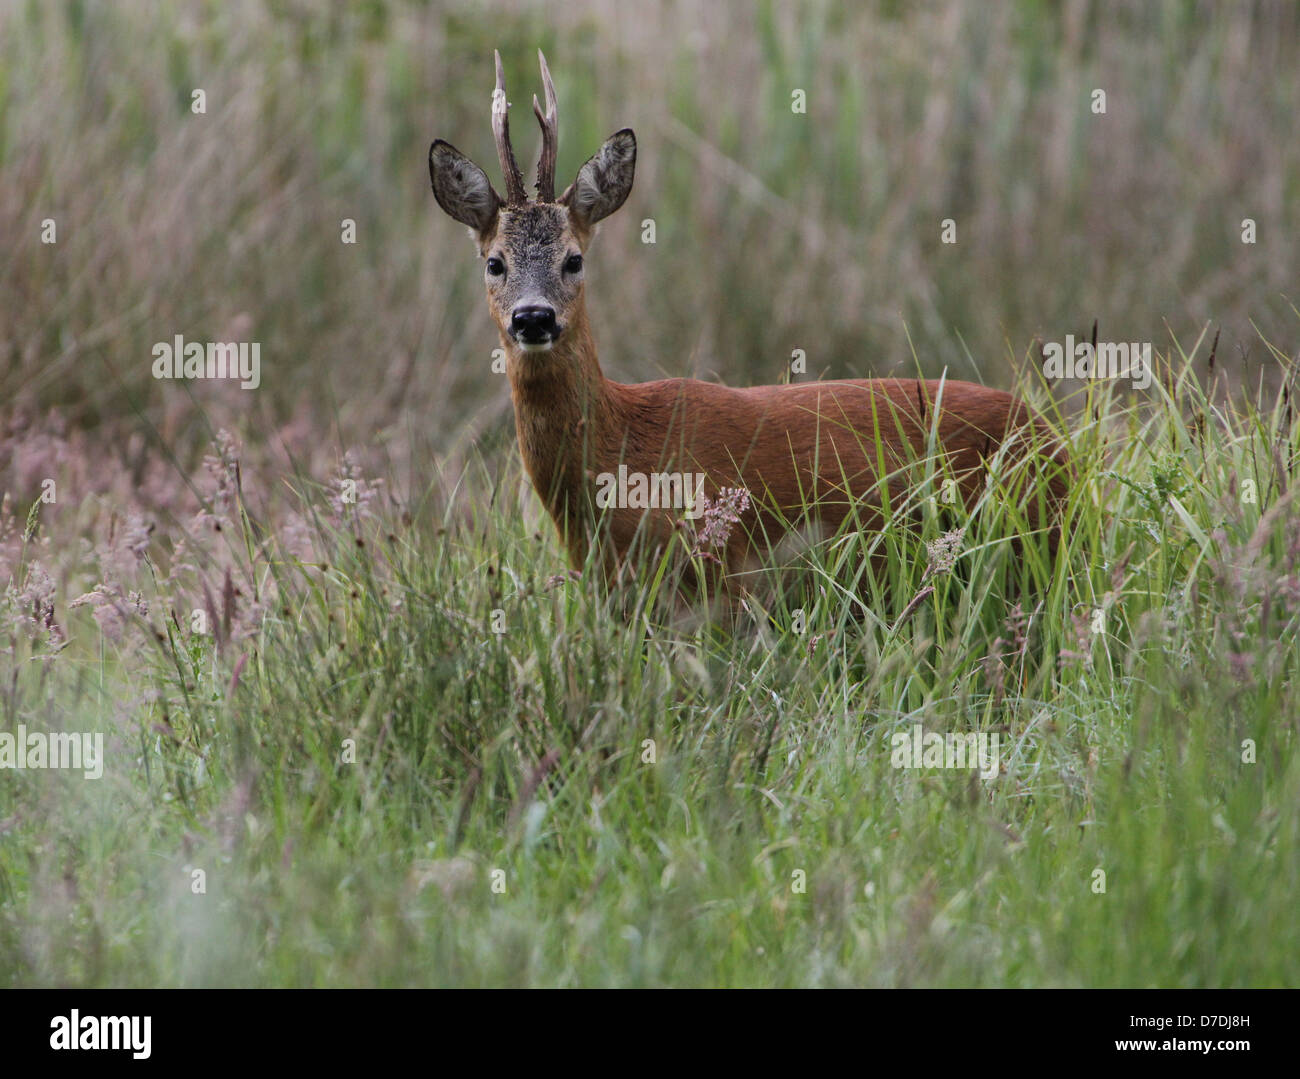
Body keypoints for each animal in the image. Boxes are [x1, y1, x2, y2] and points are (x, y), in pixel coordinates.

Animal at [428, 51, 1069, 602]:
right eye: (494, 263)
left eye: (574, 259)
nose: (533, 317)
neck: (621, 455)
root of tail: (1057, 442)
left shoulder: (719, 576)